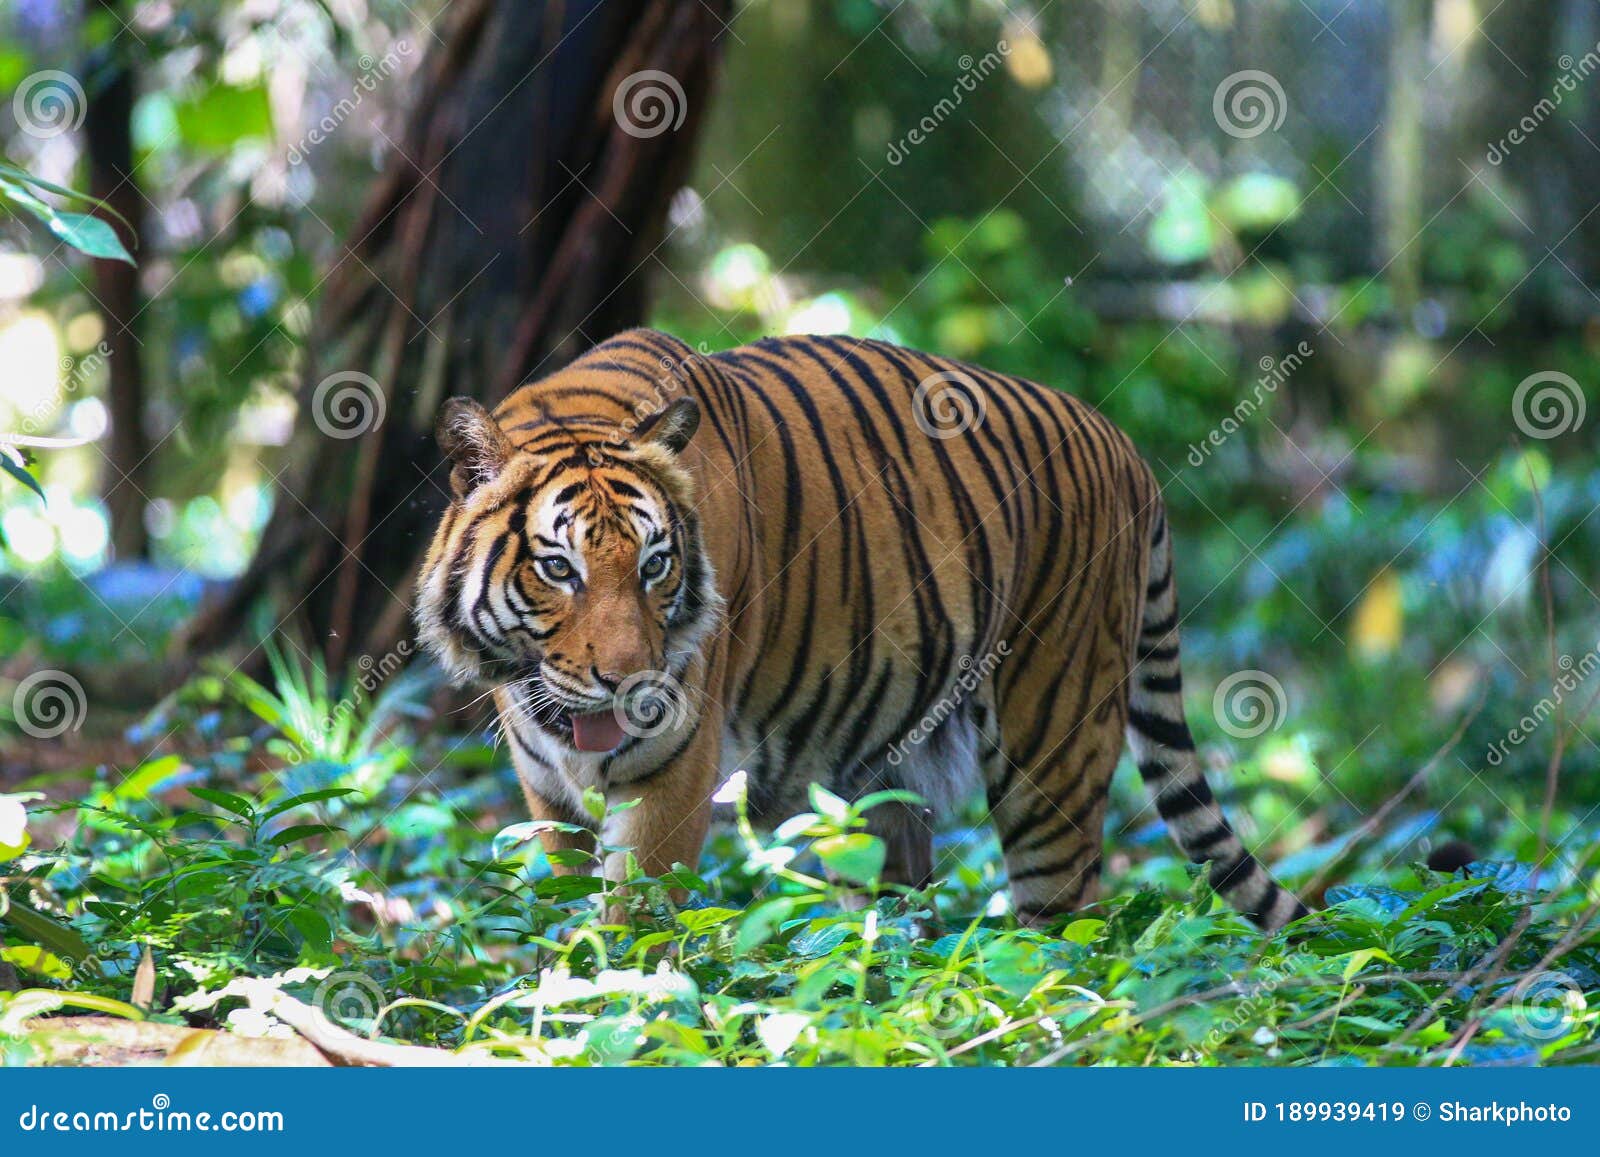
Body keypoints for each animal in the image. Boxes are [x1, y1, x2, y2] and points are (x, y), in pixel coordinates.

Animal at [415, 328, 1308, 930]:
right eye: (558, 568)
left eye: (655, 565)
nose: (633, 682)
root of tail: (1124, 446)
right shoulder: (547, 789)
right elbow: (567, 893)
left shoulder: (671, 771)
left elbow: (633, 920)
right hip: (882, 780)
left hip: (1053, 748)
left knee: (1068, 923)